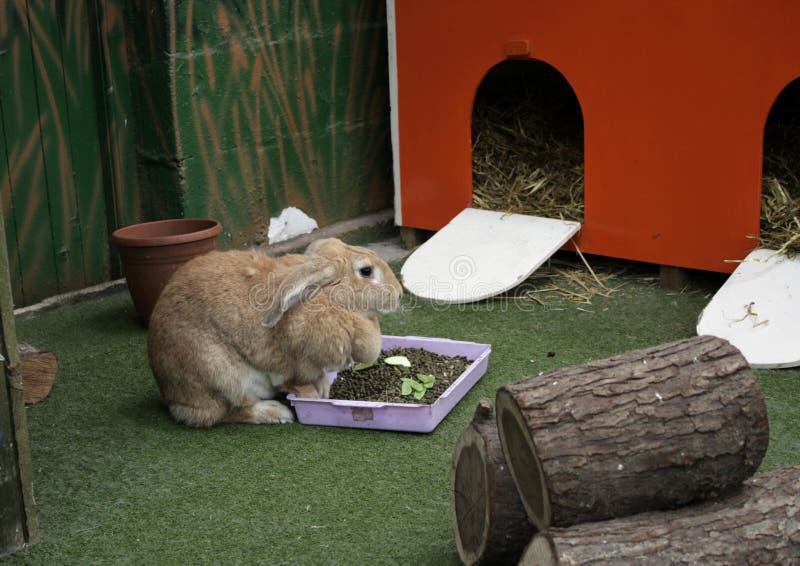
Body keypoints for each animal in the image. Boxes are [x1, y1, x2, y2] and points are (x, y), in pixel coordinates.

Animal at [147, 237, 403, 427]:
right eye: (366, 271)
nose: (399, 293)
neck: (329, 298)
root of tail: (169, 394)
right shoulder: (294, 365)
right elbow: (298, 383)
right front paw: (314, 399)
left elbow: (319, 377)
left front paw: (325, 390)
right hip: (220, 374)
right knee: (223, 412)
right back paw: (275, 413)